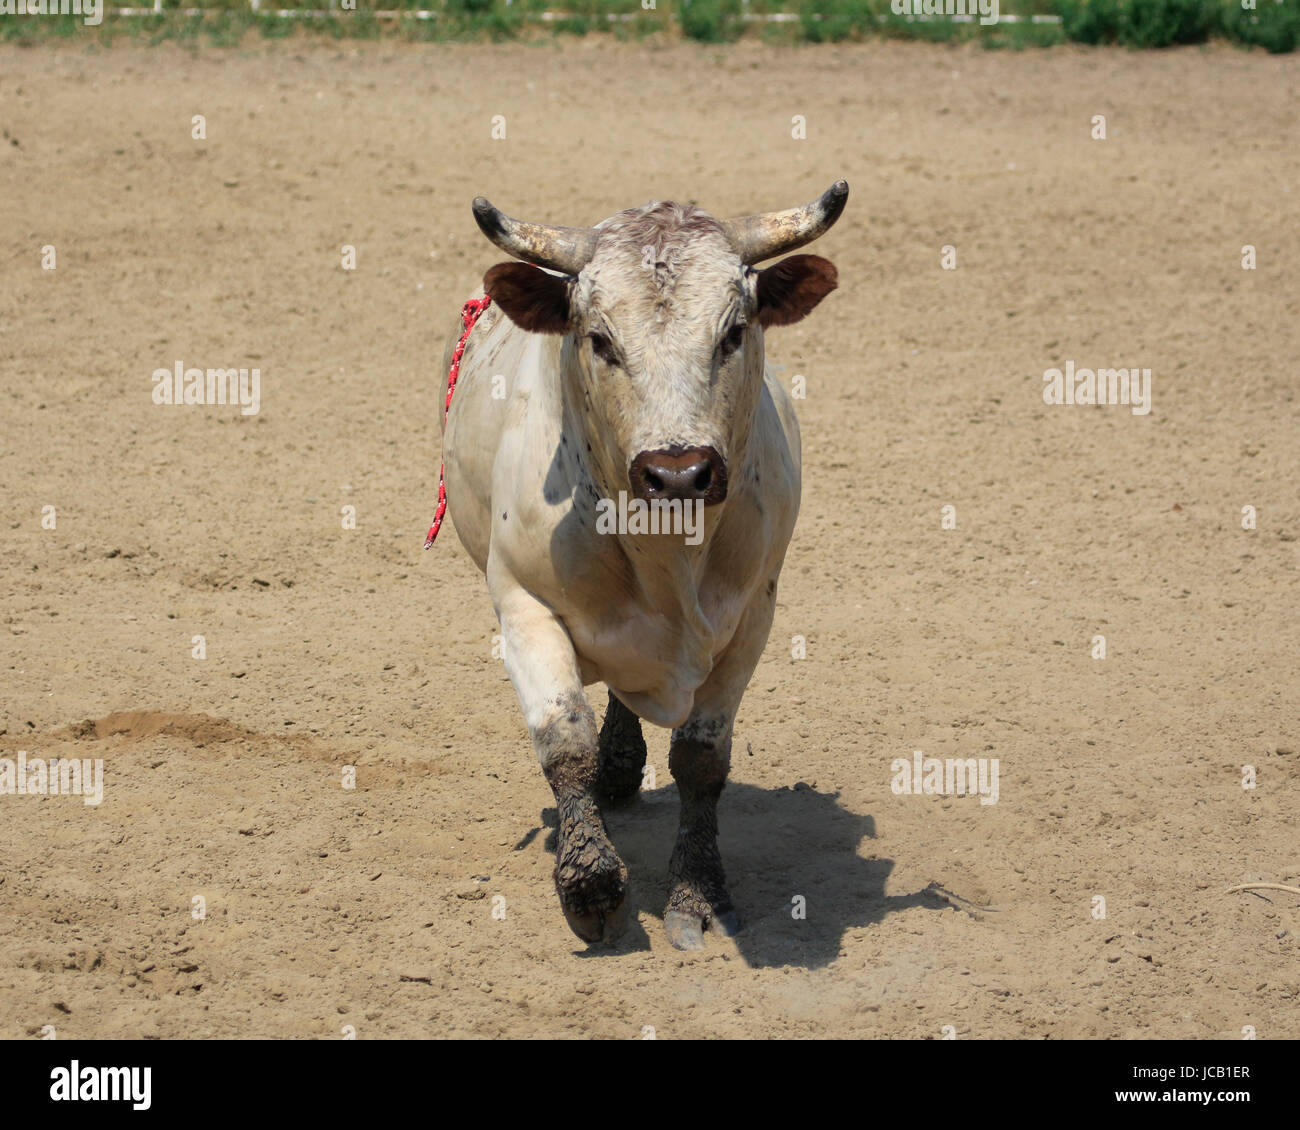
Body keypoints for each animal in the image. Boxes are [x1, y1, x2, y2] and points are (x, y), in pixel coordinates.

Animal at [438, 181, 848, 949]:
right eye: (600, 339)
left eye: (732, 332)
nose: (678, 473)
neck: (664, 556)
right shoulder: (524, 609)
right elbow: (563, 740)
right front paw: (591, 887)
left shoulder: (752, 619)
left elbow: (701, 759)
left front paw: (698, 892)